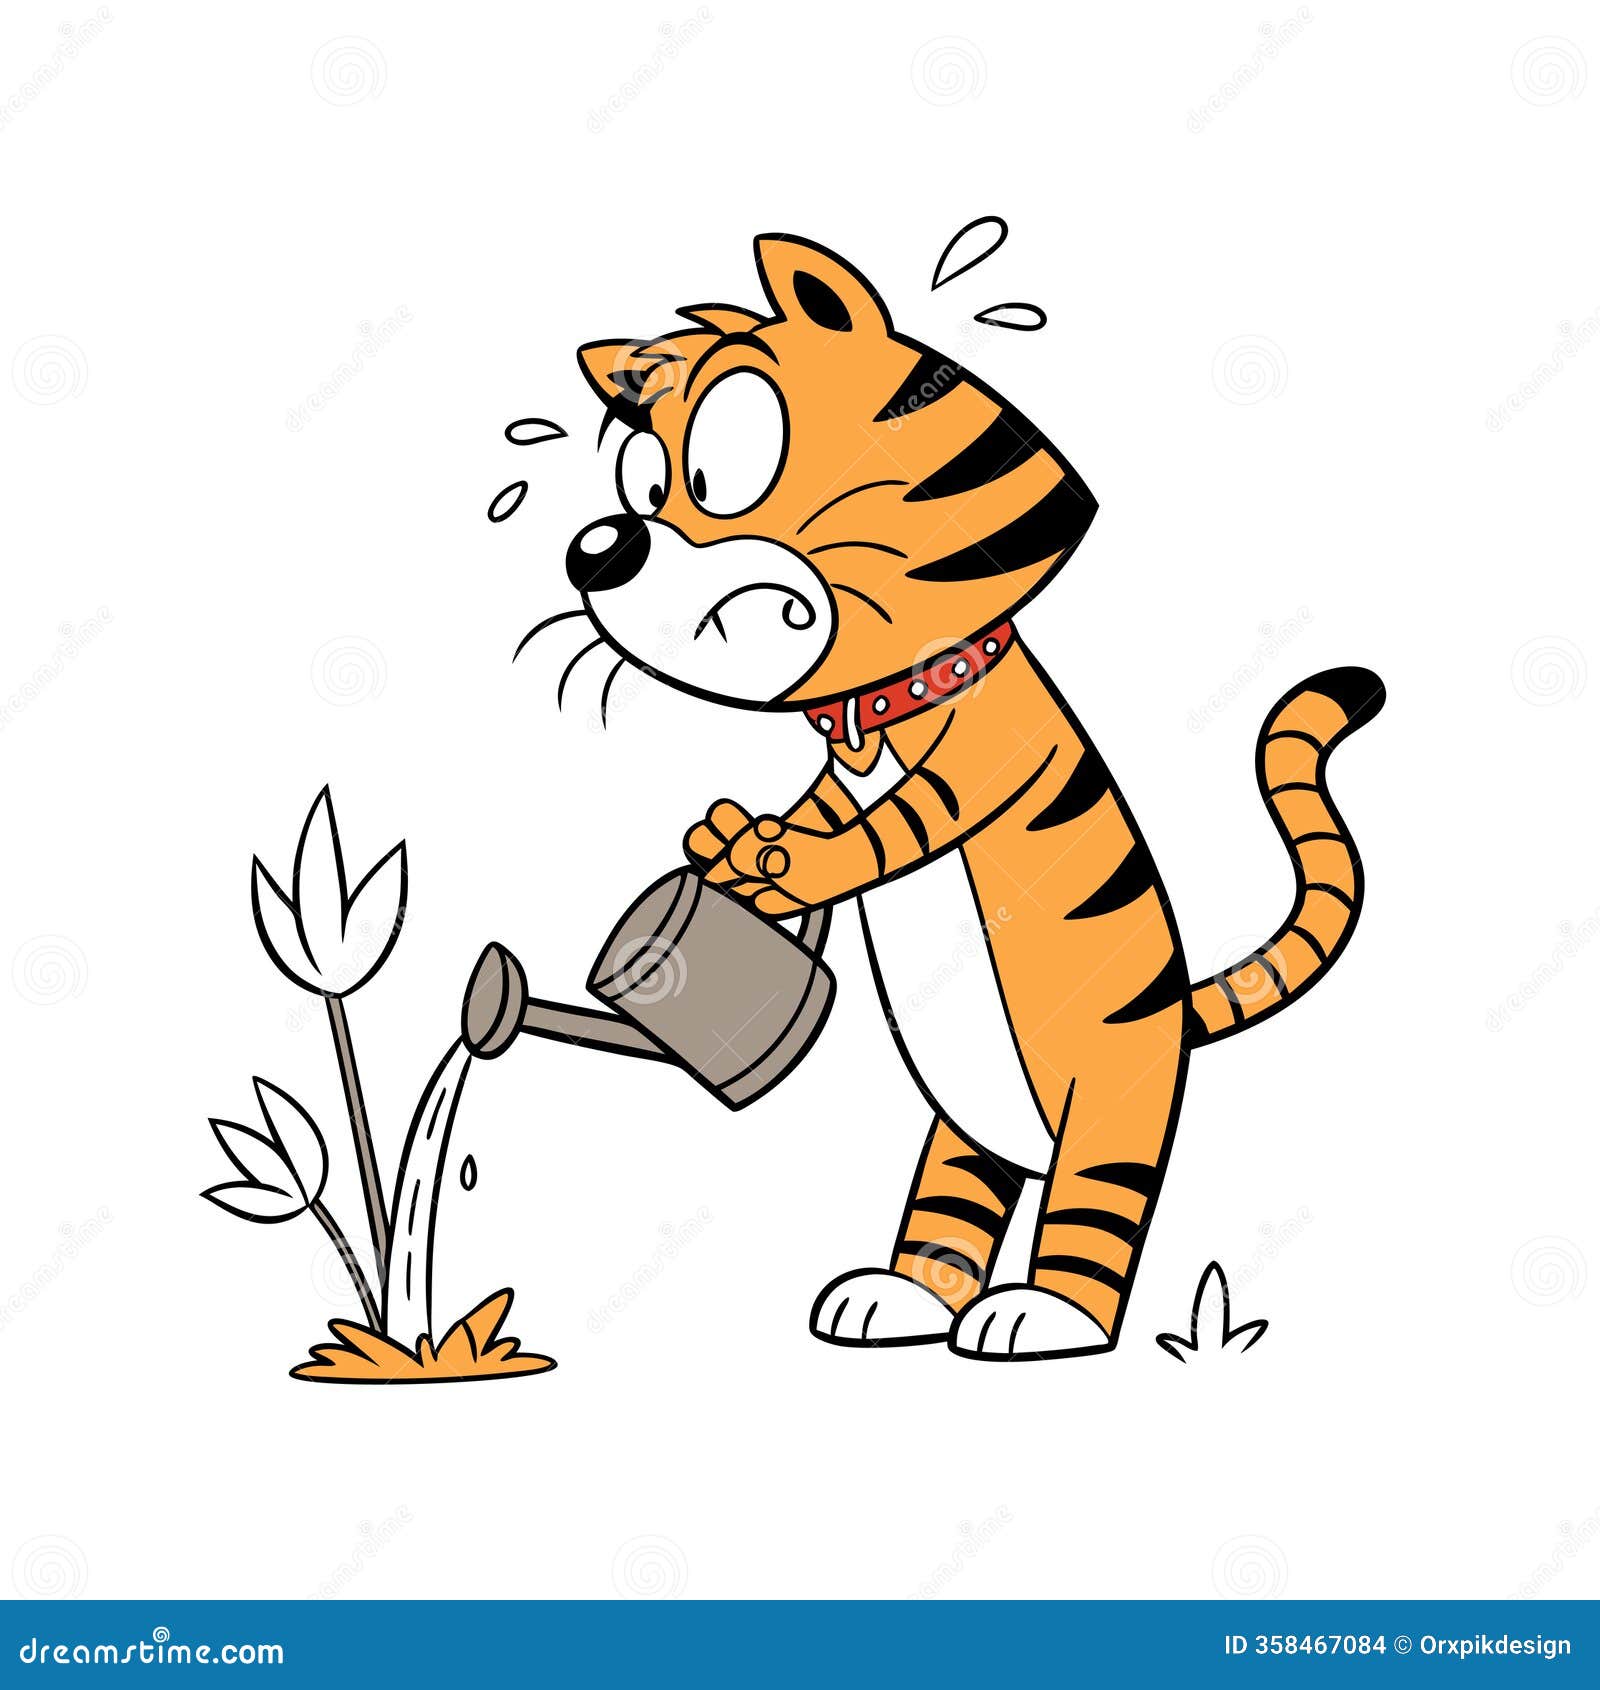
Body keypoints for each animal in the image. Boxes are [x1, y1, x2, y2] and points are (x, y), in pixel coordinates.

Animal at [561, 233, 1385, 1361]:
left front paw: (792, 868)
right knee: (957, 1200)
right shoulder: (842, 768)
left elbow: (900, 825)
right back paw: (903, 1297)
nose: (601, 548)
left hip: (1105, 1100)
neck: (885, 699)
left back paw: (1045, 1314)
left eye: (718, 474)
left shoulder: (991, 757)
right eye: (642, 487)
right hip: (962, 1119)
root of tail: (1179, 1008)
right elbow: (825, 806)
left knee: (1095, 1209)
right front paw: (735, 842)